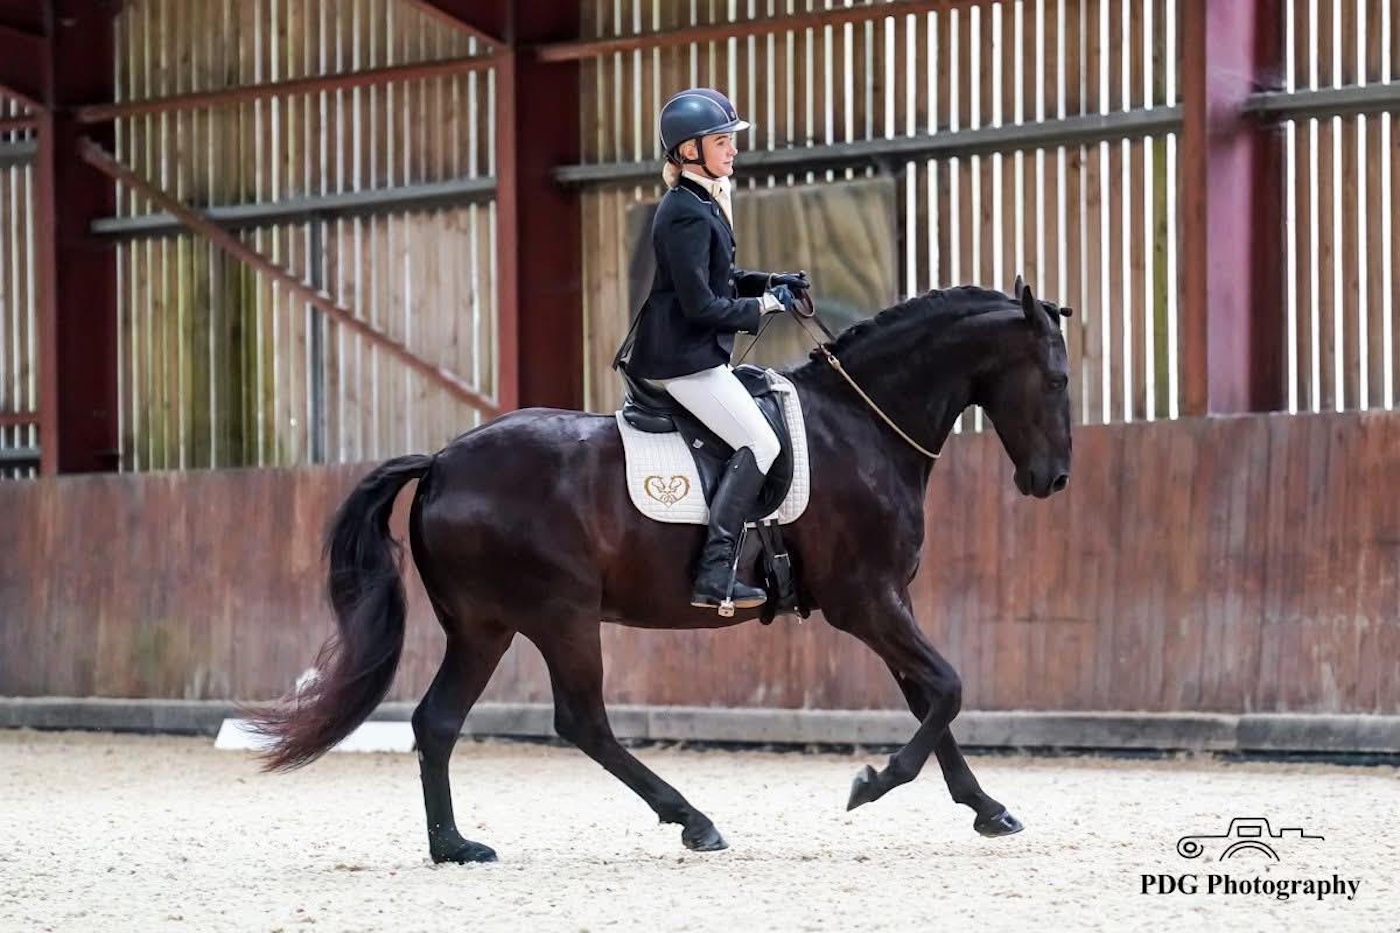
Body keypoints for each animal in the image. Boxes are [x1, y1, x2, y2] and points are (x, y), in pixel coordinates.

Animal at [248, 276, 1074, 864]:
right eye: (1059, 379)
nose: (1053, 479)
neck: (861, 424)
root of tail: (445, 460)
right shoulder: (866, 599)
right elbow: (947, 688)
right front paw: (871, 783)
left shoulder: (886, 599)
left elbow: (933, 698)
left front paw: (988, 809)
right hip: (561, 615)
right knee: (581, 720)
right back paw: (693, 820)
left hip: (483, 625)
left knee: (439, 720)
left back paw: (455, 846)